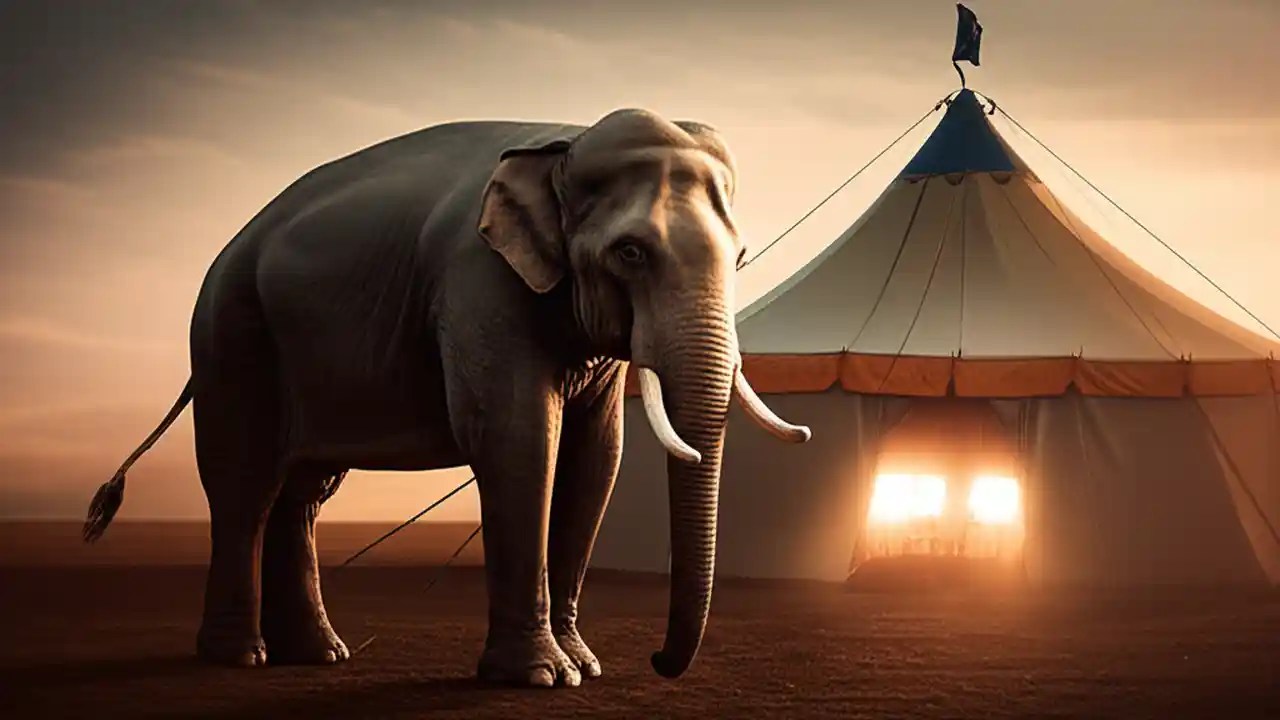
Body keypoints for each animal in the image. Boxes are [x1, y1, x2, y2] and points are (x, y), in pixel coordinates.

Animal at [82, 108, 811, 686]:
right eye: (630, 252)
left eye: (740, 256)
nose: (659, 662)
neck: (566, 142)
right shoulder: (478, 279)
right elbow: (518, 437)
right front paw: (541, 677)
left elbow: (596, 456)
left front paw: (586, 667)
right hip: (233, 335)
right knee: (247, 487)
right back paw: (239, 657)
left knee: (304, 491)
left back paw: (319, 656)